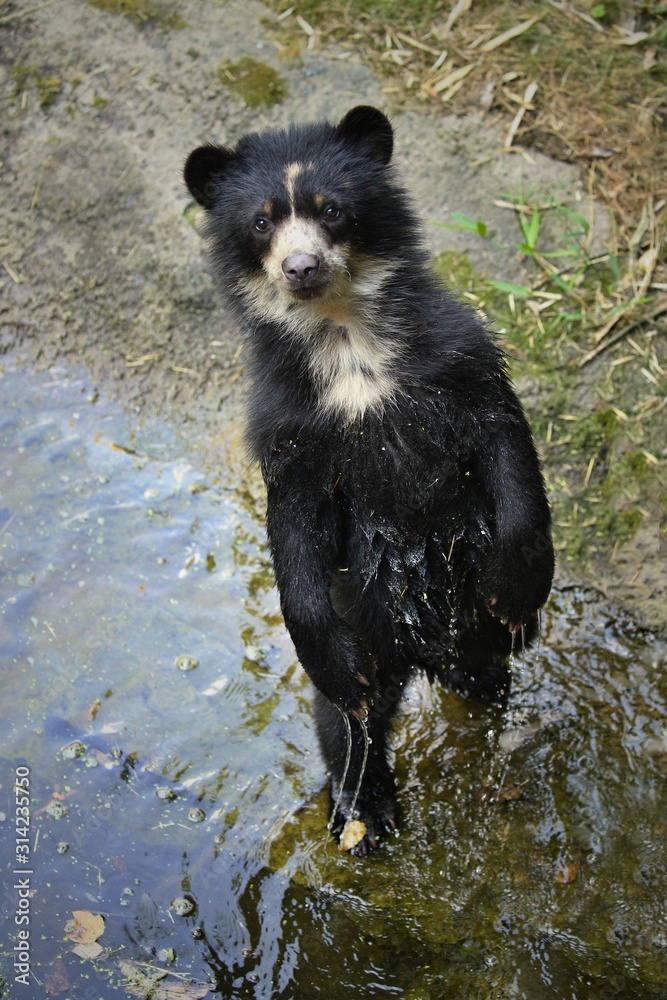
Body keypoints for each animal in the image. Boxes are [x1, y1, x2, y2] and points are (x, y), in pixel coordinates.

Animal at [184, 106, 554, 855]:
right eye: (262, 222)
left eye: (331, 209)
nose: (300, 267)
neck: (348, 340)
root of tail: (424, 646)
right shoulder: (290, 426)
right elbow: (293, 531)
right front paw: (335, 671)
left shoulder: (458, 360)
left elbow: (506, 447)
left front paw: (515, 593)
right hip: (363, 607)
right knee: (348, 717)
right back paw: (364, 807)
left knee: (477, 658)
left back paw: (480, 671)